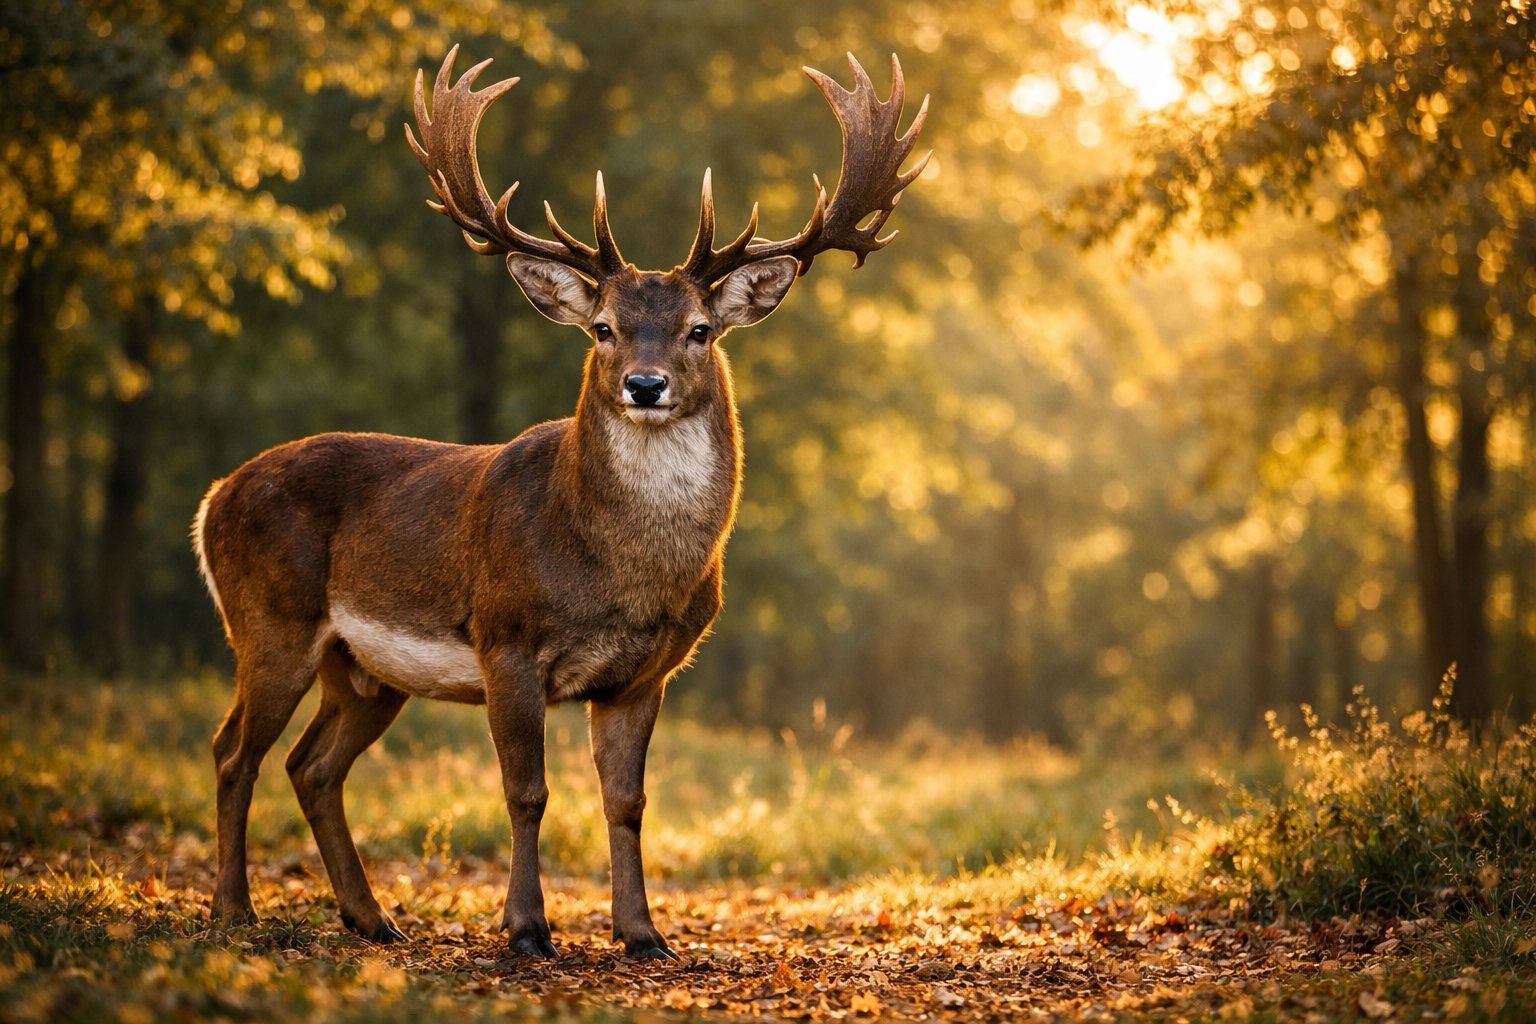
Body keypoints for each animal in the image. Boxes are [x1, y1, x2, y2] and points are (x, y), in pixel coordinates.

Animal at [192, 44, 928, 960]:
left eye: (698, 330)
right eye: (603, 327)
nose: (645, 385)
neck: (618, 578)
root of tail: (213, 498)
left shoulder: (645, 673)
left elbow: (628, 801)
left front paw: (642, 932)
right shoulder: (506, 638)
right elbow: (527, 792)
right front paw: (527, 927)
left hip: (363, 670)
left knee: (312, 765)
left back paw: (372, 917)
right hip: (269, 619)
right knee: (233, 751)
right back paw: (233, 909)